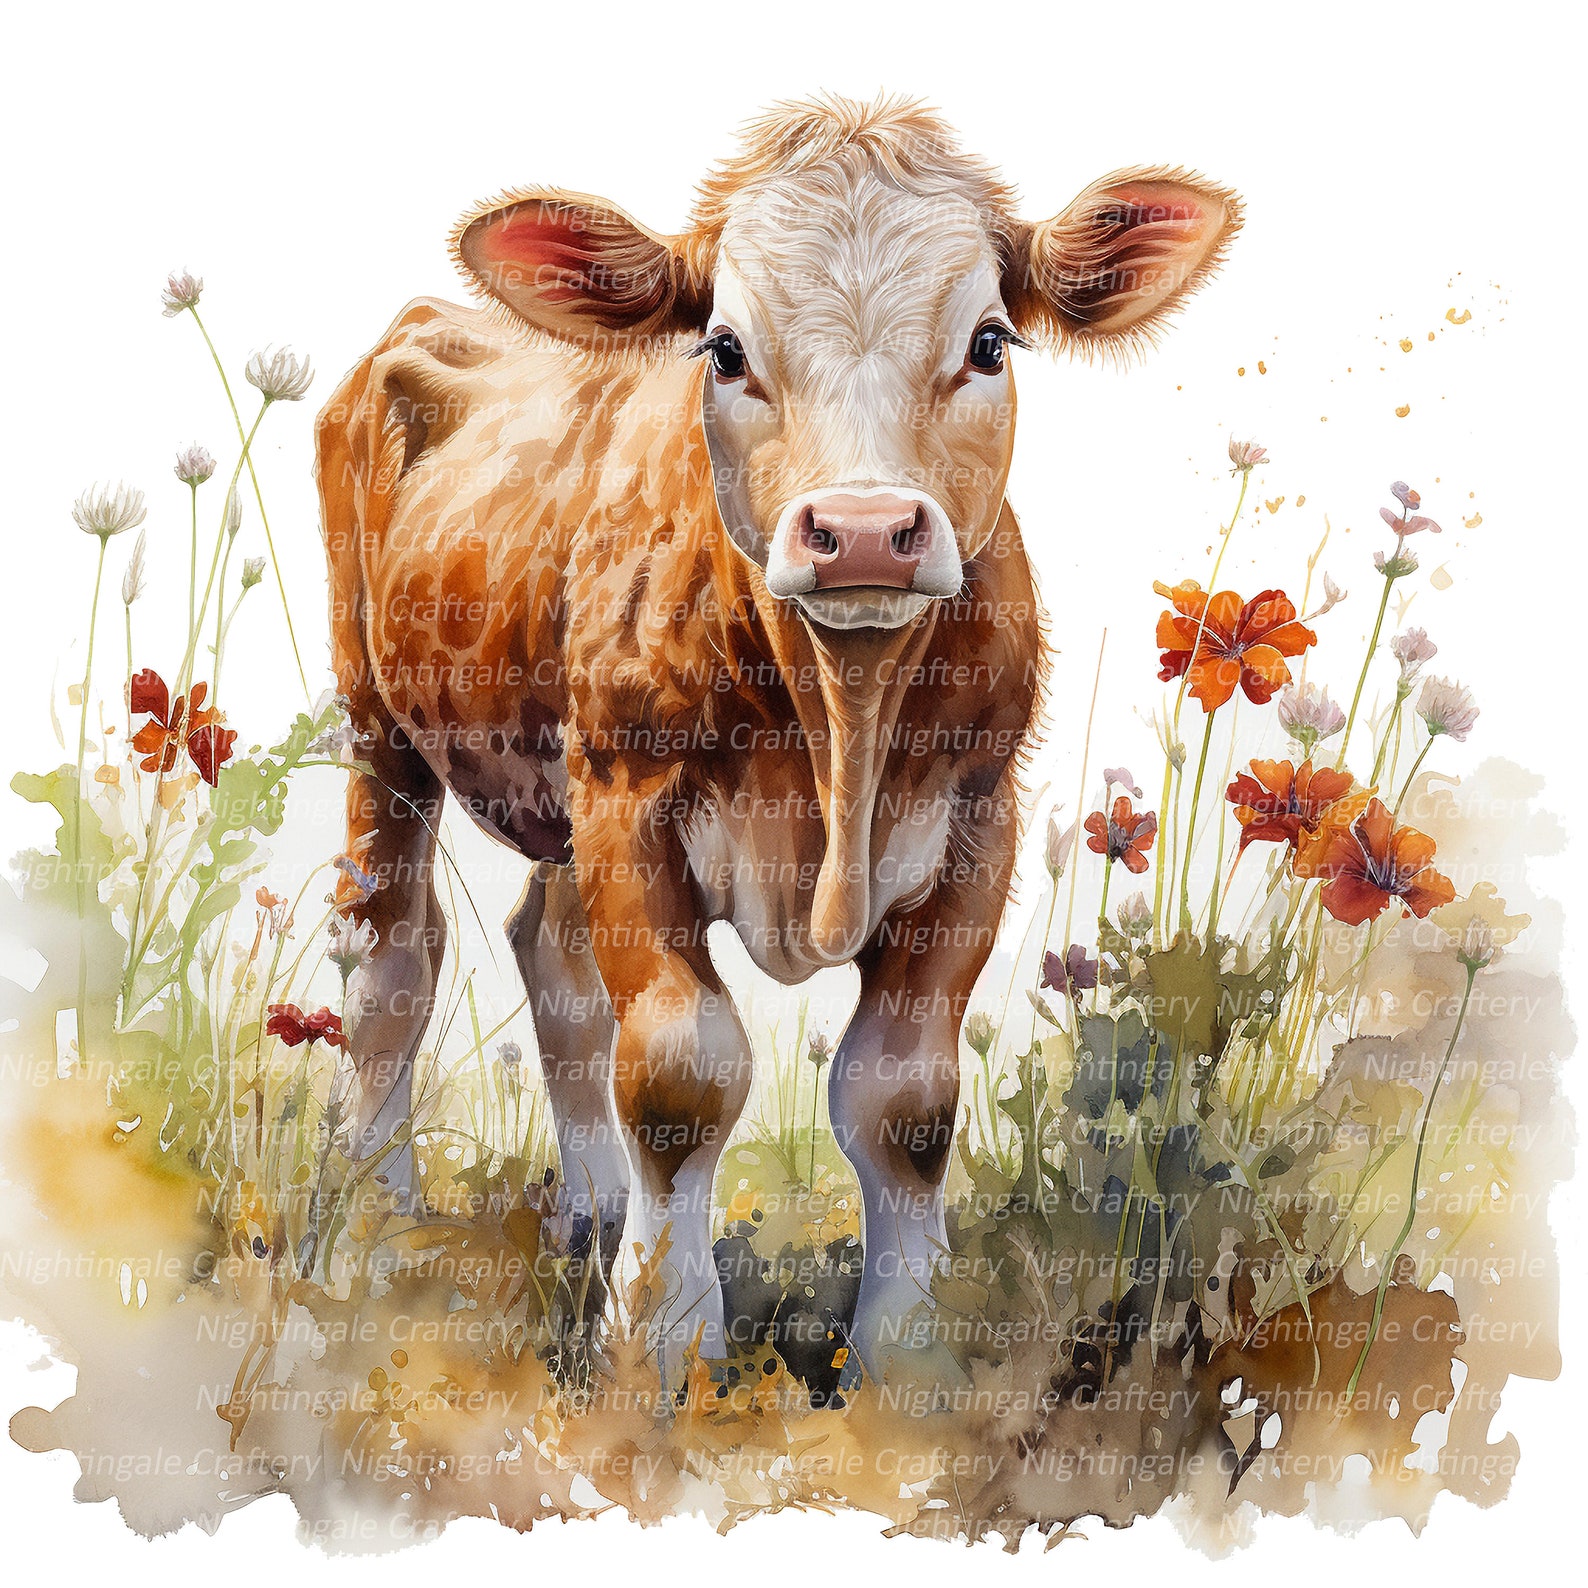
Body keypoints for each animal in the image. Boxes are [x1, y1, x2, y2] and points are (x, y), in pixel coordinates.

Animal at [314, 94, 1239, 1379]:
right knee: (391, 945)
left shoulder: (976, 822)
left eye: (989, 343)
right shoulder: (632, 801)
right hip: (382, 725)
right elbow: (678, 1075)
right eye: (724, 349)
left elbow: (904, 1100)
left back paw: (593, 1206)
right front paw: (662, 1346)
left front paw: (907, 1357)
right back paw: (375, 1216)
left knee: (549, 946)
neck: (835, 727)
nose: (863, 530)